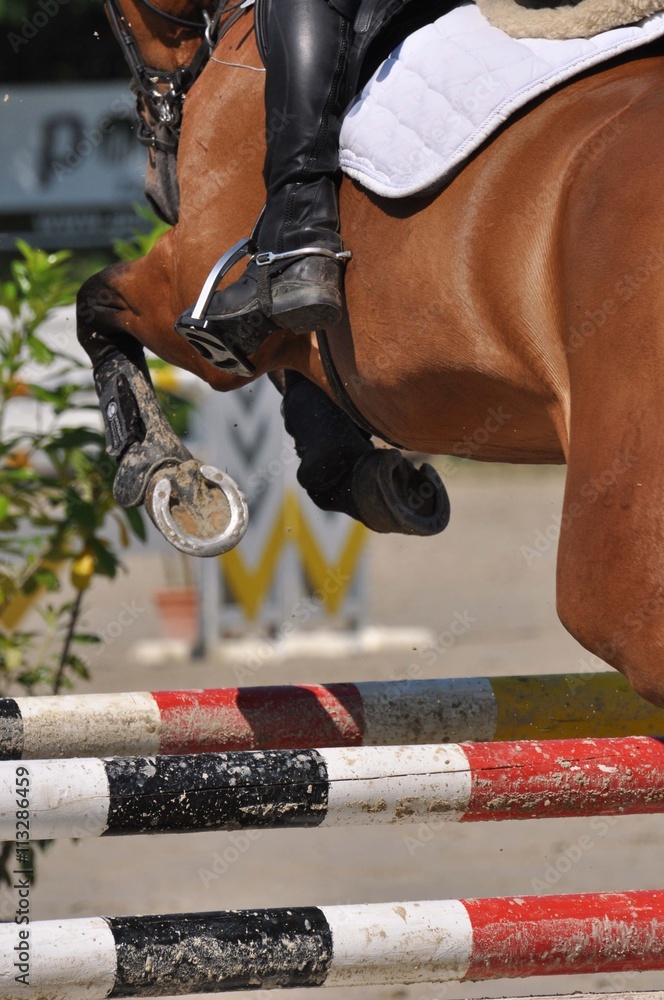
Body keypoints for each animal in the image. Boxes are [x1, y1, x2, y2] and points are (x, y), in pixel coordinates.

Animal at [78, 0, 664, 709]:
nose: (157, 191)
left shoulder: (185, 286)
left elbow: (95, 303)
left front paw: (165, 470)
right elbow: (303, 387)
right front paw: (372, 479)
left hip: (615, 562)